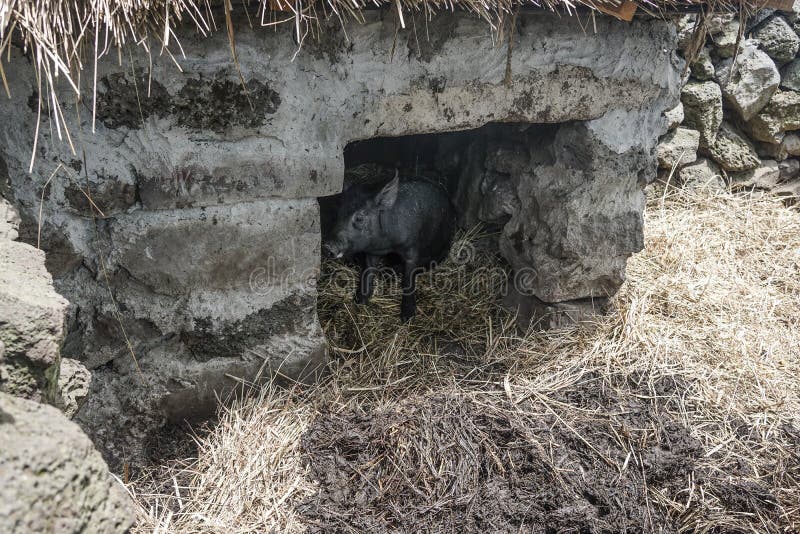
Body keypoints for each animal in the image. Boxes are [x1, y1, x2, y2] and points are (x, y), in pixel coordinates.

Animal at [323, 170, 456, 321]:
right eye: (338, 213)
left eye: (360, 217)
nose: (327, 246)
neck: (386, 245)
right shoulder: (372, 251)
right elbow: (368, 271)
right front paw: (360, 301)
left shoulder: (412, 249)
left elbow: (408, 279)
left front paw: (407, 318)